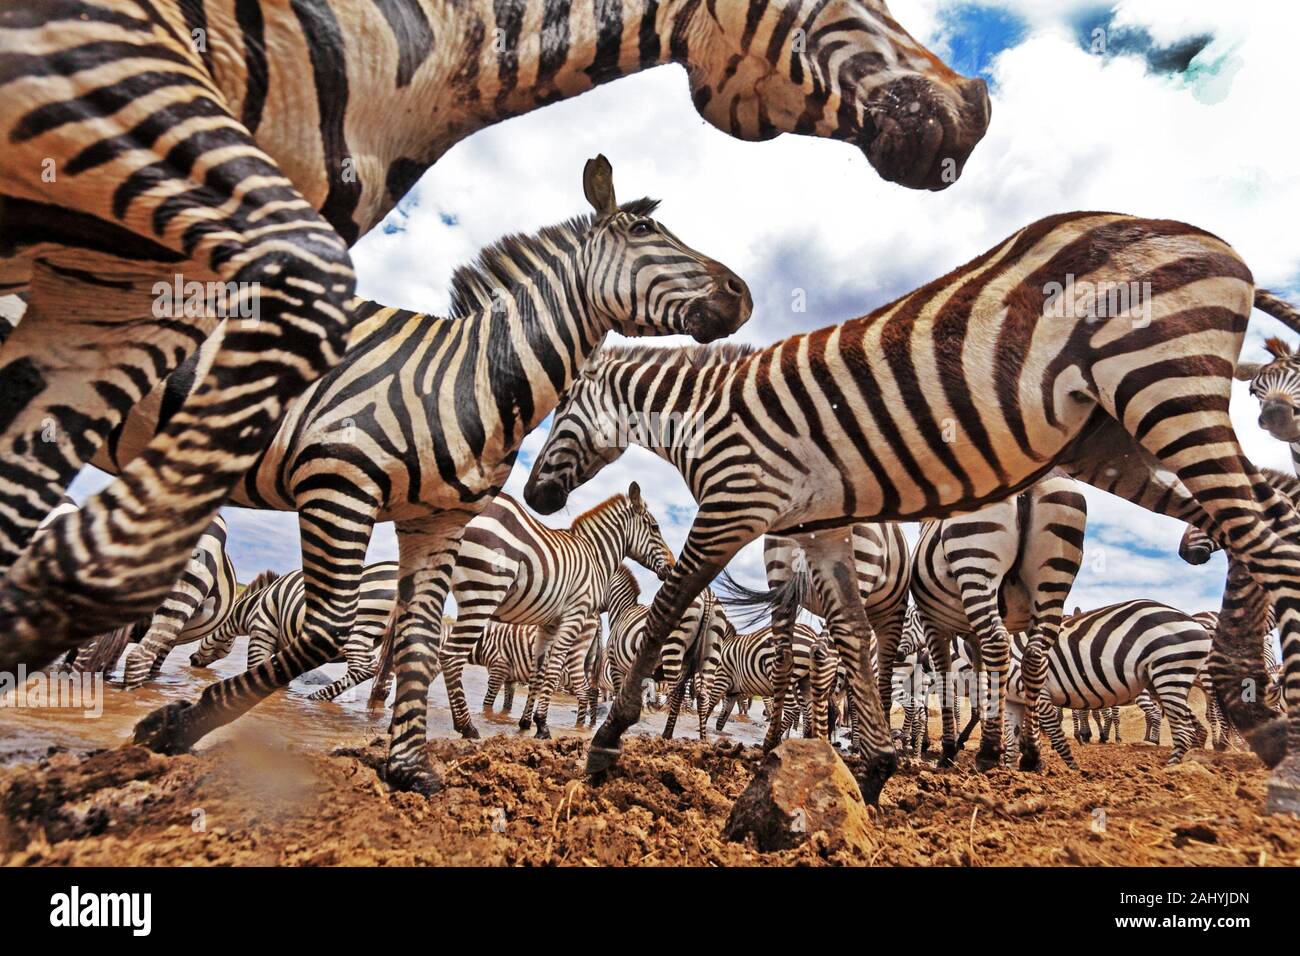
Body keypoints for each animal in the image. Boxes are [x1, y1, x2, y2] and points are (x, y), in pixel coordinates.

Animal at [191, 562, 398, 702]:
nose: (192, 660)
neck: (252, 606)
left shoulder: (262, 629)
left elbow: (254, 669)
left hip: (358, 630)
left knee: (365, 668)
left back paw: (316, 697)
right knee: (384, 685)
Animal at [432, 487, 672, 741]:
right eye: (655, 527)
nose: (672, 566)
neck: (595, 556)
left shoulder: (548, 623)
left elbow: (538, 672)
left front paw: (526, 723)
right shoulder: (574, 613)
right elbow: (554, 665)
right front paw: (542, 725)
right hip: (484, 592)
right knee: (450, 656)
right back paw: (466, 726)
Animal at [909, 474, 1087, 768]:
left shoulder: (933, 622)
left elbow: (947, 679)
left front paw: (948, 751)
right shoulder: (972, 634)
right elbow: (984, 680)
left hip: (975, 558)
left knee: (998, 643)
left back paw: (989, 752)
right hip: (1052, 583)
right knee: (1035, 656)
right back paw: (1031, 754)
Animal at [1002, 601, 1214, 766]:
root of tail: (1196, 623)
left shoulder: (1041, 693)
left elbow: (1057, 731)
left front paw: (1072, 768)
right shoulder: (1015, 700)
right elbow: (1012, 736)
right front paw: (1009, 771)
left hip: (1169, 674)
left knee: (1181, 728)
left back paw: (1169, 768)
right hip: (1162, 683)